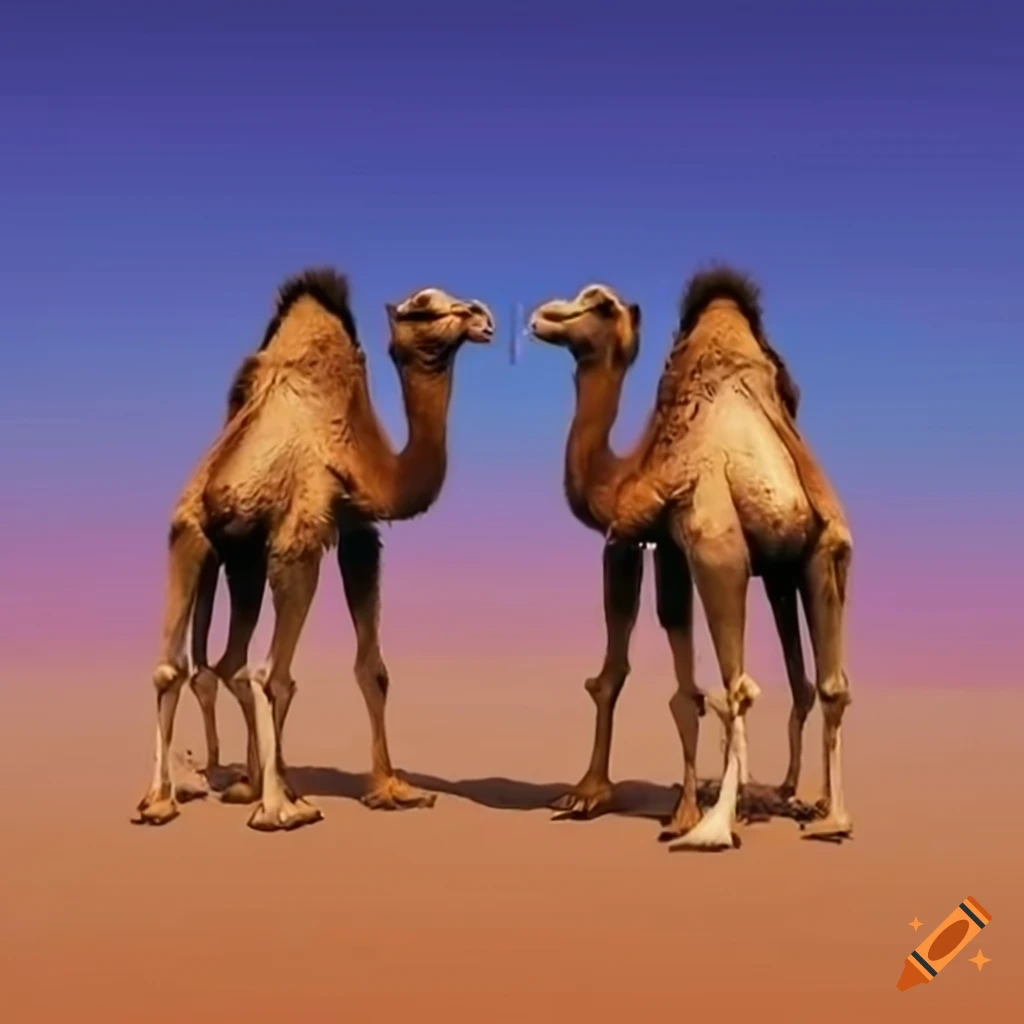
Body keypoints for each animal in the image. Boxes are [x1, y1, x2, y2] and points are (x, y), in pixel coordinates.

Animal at [133, 268, 494, 831]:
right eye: (425, 307)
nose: (481, 316)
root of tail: (215, 485)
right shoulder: (336, 523)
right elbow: (334, 671)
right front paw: (371, 792)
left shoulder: (347, 530)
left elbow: (370, 668)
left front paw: (387, 789)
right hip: (283, 550)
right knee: (264, 671)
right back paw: (278, 807)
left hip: (200, 543)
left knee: (190, 665)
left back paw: (169, 799)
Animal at [528, 276, 827, 842]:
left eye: (600, 305)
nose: (541, 317)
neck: (617, 477)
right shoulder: (668, 550)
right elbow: (681, 680)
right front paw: (683, 805)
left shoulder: (628, 538)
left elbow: (614, 675)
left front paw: (588, 795)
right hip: (797, 562)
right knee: (810, 683)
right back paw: (794, 800)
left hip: (722, 552)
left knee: (742, 686)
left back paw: (725, 820)